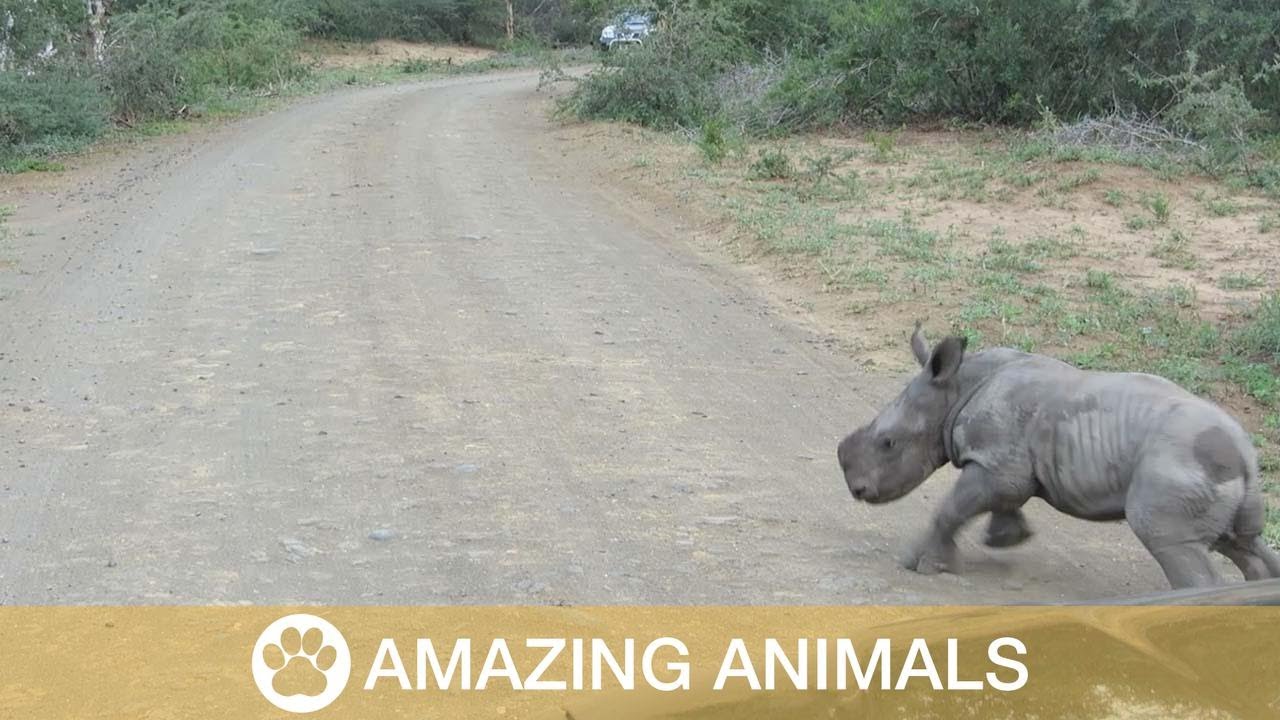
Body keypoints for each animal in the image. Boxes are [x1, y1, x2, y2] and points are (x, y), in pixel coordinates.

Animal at [837, 323, 1280, 589]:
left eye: (889, 443)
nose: (857, 491)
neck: (956, 387)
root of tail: (1245, 458)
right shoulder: (1005, 465)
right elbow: (996, 504)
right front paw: (1006, 538)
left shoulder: (996, 463)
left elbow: (950, 509)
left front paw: (922, 564)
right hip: (1210, 467)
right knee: (1244, 545)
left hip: (1178, 465)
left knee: (1169, 538)